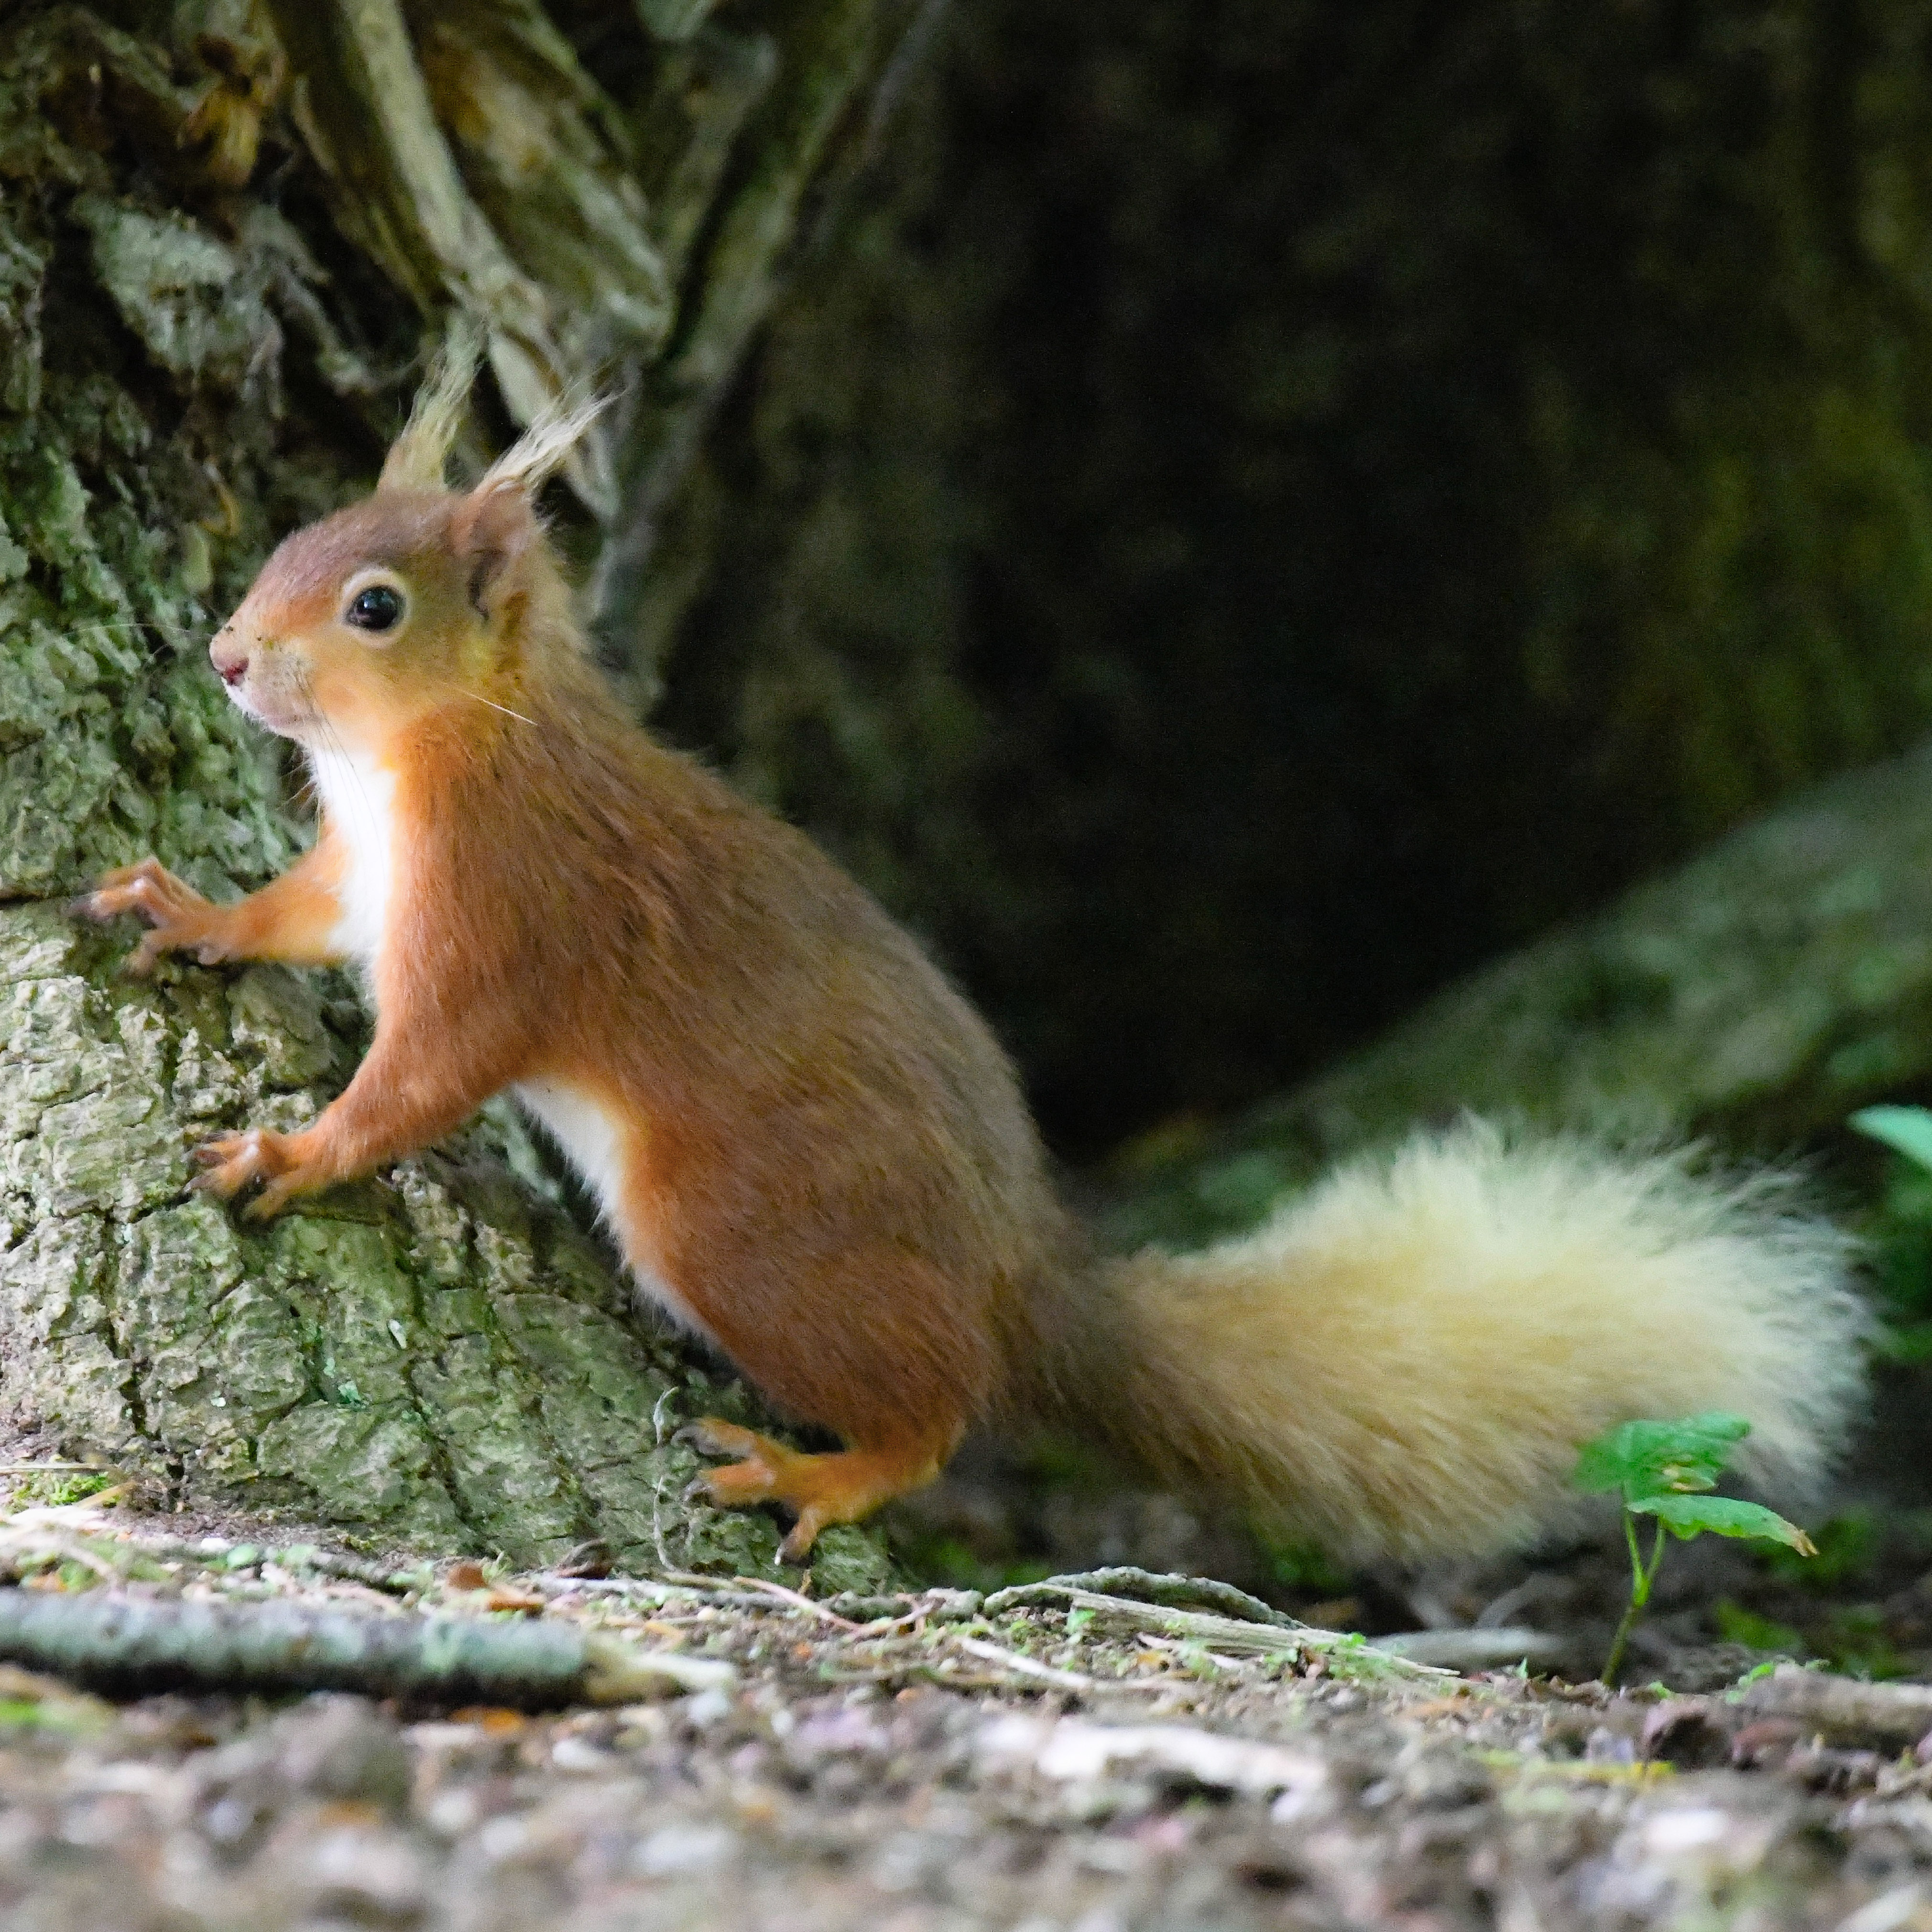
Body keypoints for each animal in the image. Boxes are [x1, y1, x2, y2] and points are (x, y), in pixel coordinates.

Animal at [77, 345, 1871, 1566]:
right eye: (295, 534)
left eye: (375, 605)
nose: (227, 654)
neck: (435, 756)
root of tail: (1023, 1274)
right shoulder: (369, 879)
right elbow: (294, 914)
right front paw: (191, 913)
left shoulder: (511, 914)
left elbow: (427, 1075)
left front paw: (297, 1153)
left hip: (742, 1233)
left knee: (940, 1408)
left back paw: (828, 1468)